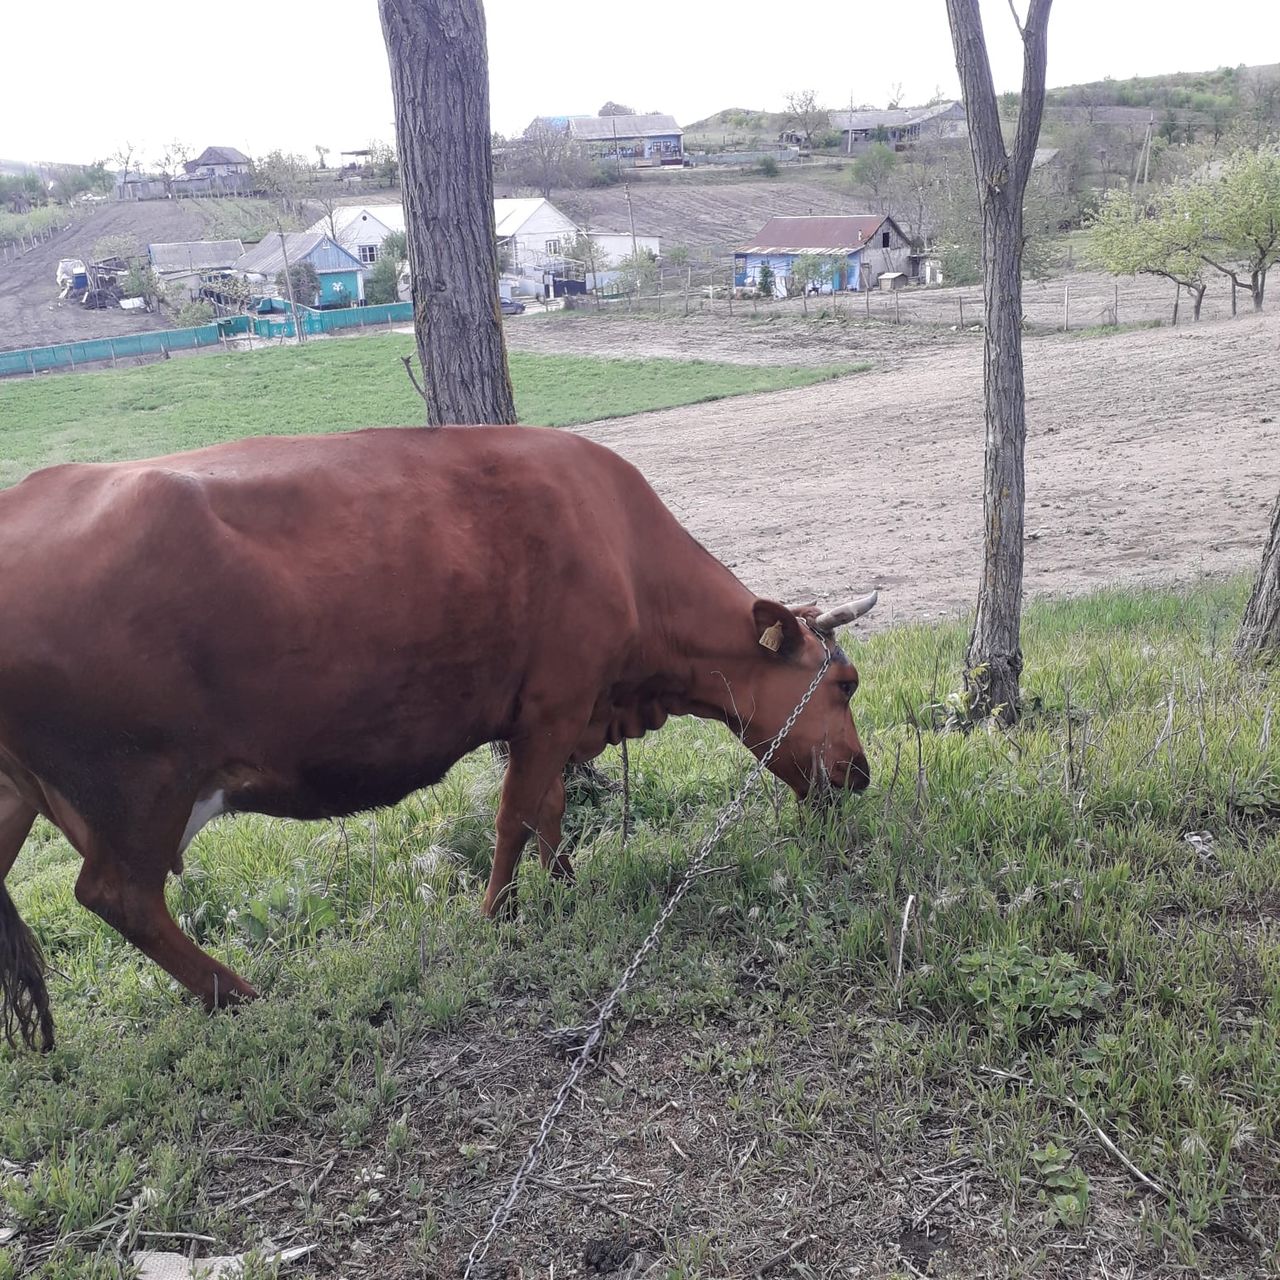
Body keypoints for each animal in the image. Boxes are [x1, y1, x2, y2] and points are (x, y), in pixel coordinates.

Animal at [0, 427, 876, 1051]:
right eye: (846, 683)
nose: (863, 774)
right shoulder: (551, 707)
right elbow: (516, 815)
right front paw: (497, 913)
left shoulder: (558, 716)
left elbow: (549, 811)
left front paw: (559, 885)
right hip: (139, 785)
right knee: (116, 894)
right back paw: (239, 994)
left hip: (21, 796)